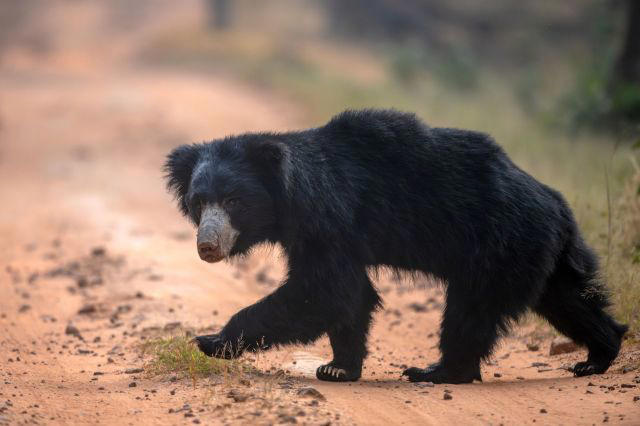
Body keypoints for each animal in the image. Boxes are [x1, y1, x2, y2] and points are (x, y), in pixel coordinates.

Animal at [164, 109, 627, 384]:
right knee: (568, 301)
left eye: (233, 201)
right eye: (199, 202)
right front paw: (338, 368)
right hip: (540, 256)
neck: (291, 196)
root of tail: (556, 204)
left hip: (500, 244)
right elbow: (348, 297)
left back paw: (437, 371)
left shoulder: (331, 219)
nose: (207, 245)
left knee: (470, 310)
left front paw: (211, 340)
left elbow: (326, 290)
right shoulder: (321, 232)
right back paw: (597, 355)